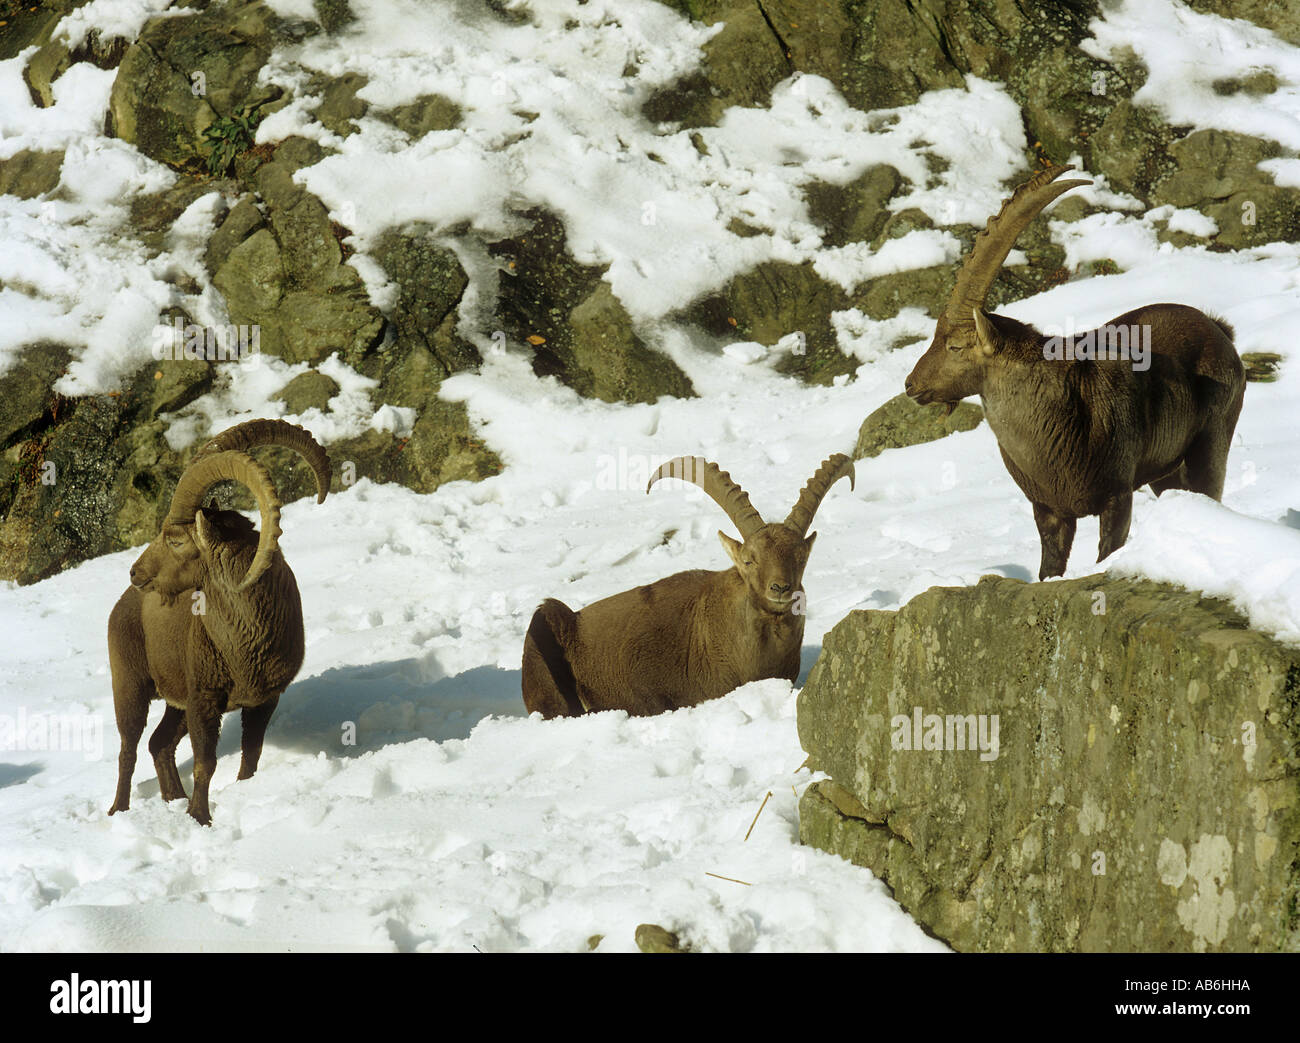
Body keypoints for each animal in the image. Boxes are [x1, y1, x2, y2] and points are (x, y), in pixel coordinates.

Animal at [106, 419, 331, 825]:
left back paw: (173, 798)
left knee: (158, 743)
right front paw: (199, 817)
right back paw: (120, 809)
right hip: (130, 685)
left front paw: (227, 797)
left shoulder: (262, 700)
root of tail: (120, 606)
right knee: (127, 749)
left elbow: (251, 757)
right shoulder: (205, 699)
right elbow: (205, 763)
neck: (244, 641)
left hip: (176, 701)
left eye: (176, 540)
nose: (135, 571)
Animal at [904, 164, 1245, 579]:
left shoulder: (1117, 493)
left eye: (954, 346)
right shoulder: (1049, 510)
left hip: (1211, 442)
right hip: (1165, 472)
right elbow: (1049, 568)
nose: (911, 385)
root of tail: (1218, 328)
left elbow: (1107, 550)